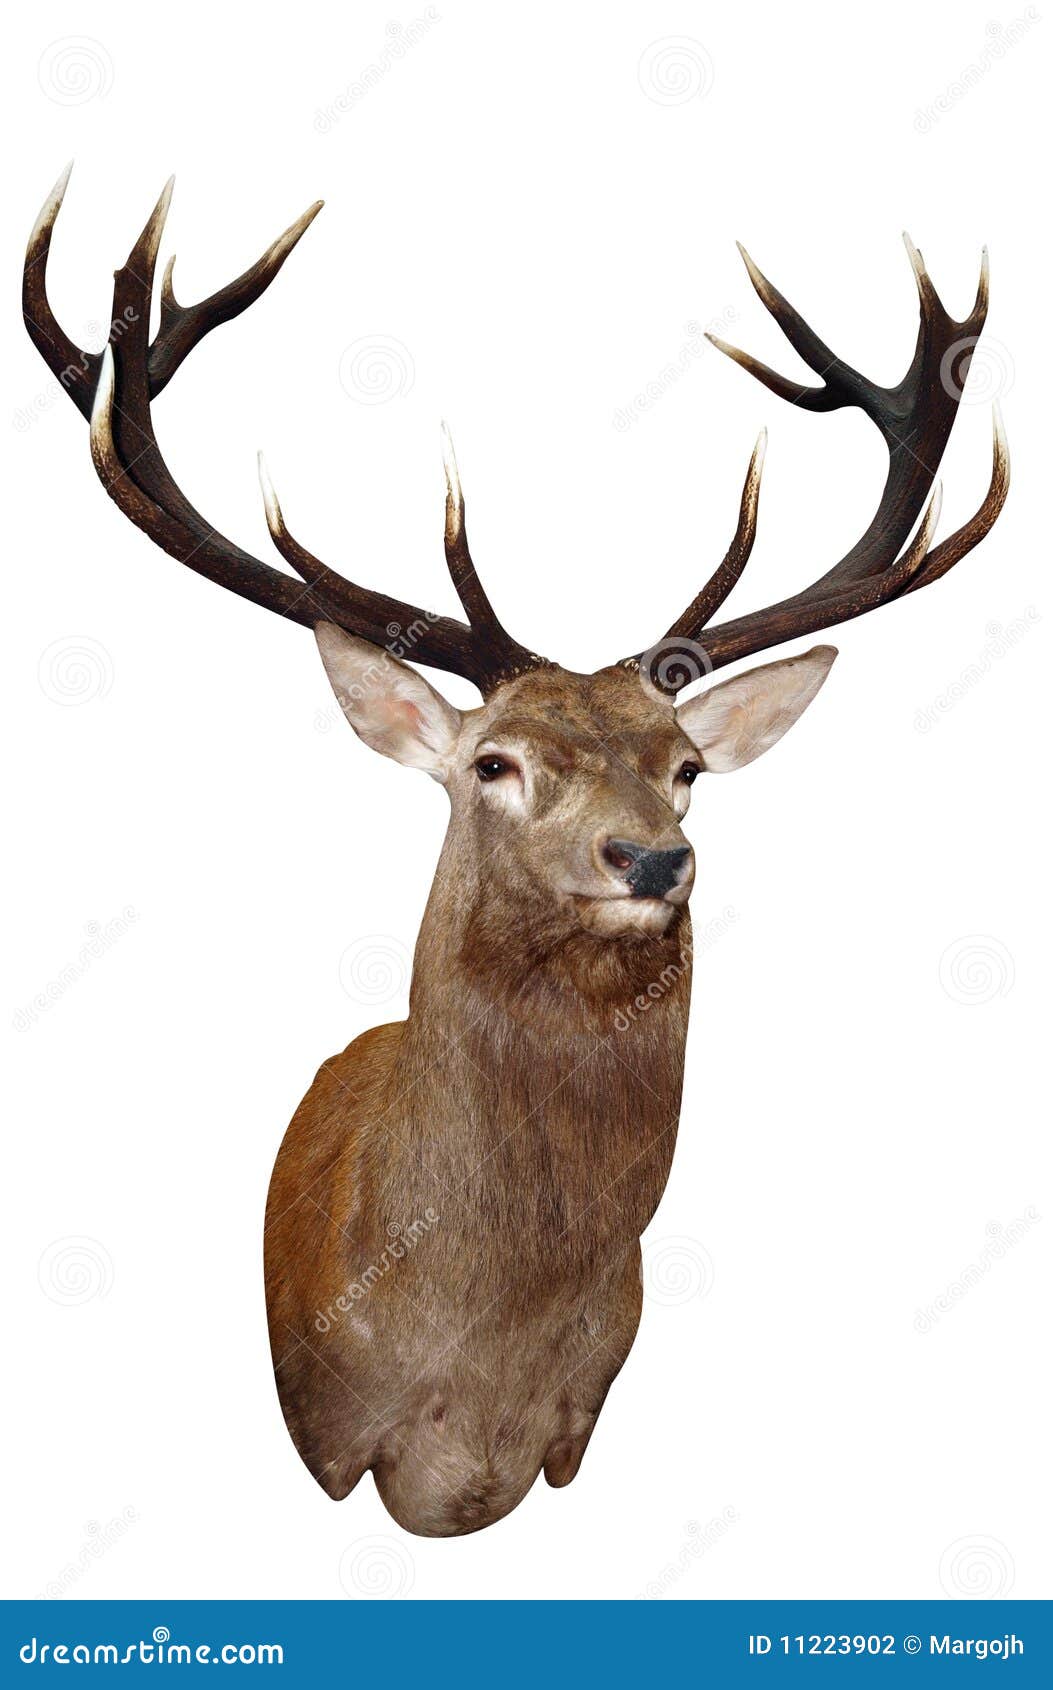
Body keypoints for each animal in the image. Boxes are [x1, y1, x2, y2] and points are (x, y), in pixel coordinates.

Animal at [25, 167, 1009, 1537]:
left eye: (686, 768)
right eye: (493, 762)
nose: (650, 860)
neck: (473, 1365)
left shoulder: (580, 1427)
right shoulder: (325, 1432)